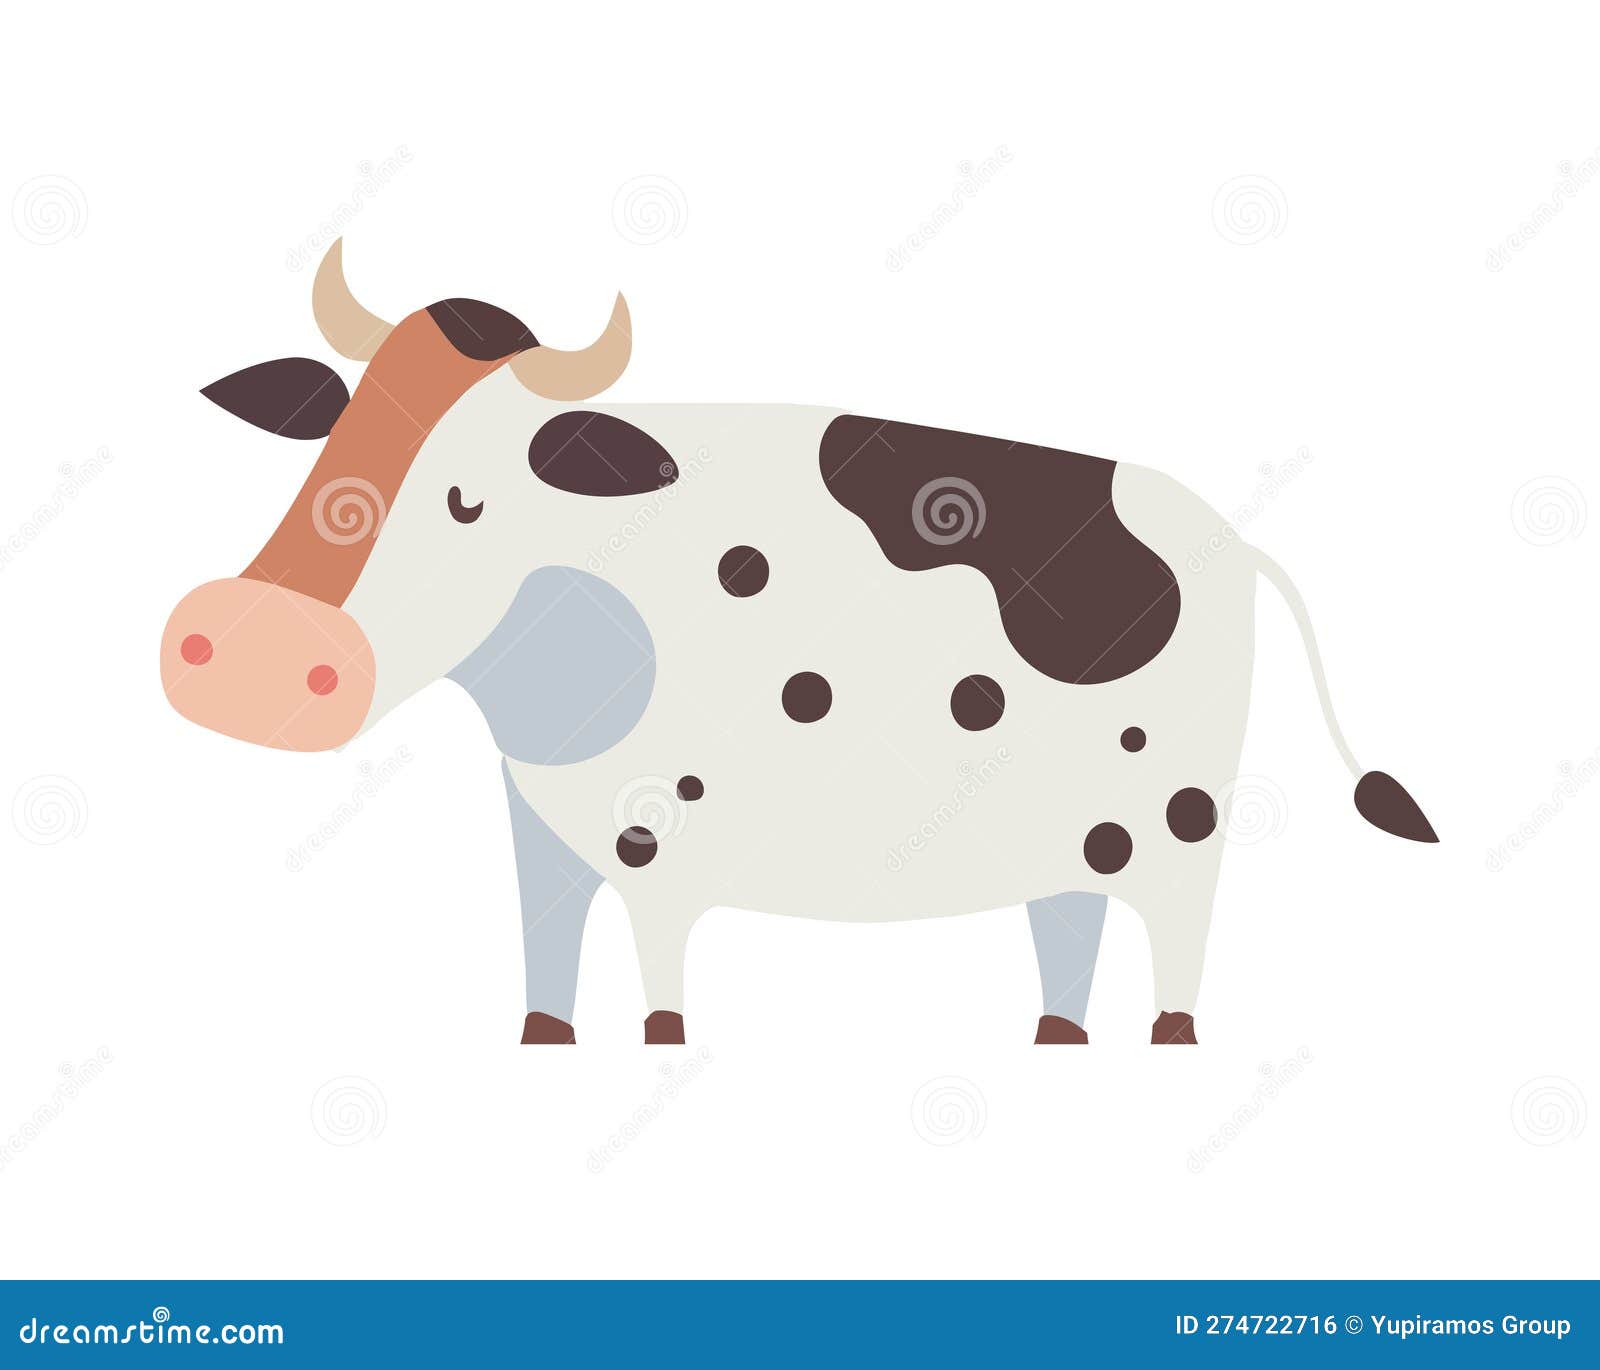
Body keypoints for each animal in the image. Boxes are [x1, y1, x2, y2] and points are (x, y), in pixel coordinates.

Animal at [162, 240, 1437, 1047]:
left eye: (468, 496)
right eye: (326, 454)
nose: (251, 641)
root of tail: (1239, 541)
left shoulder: (662, 839)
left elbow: (662, 1004)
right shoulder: (538, 831)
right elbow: (546, 979)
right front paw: (543, 1042)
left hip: (1186, 828)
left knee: (1177, 953)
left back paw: (1163, 1040)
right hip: (1079, 841)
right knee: (1068, 933)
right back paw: (1053, 1039)